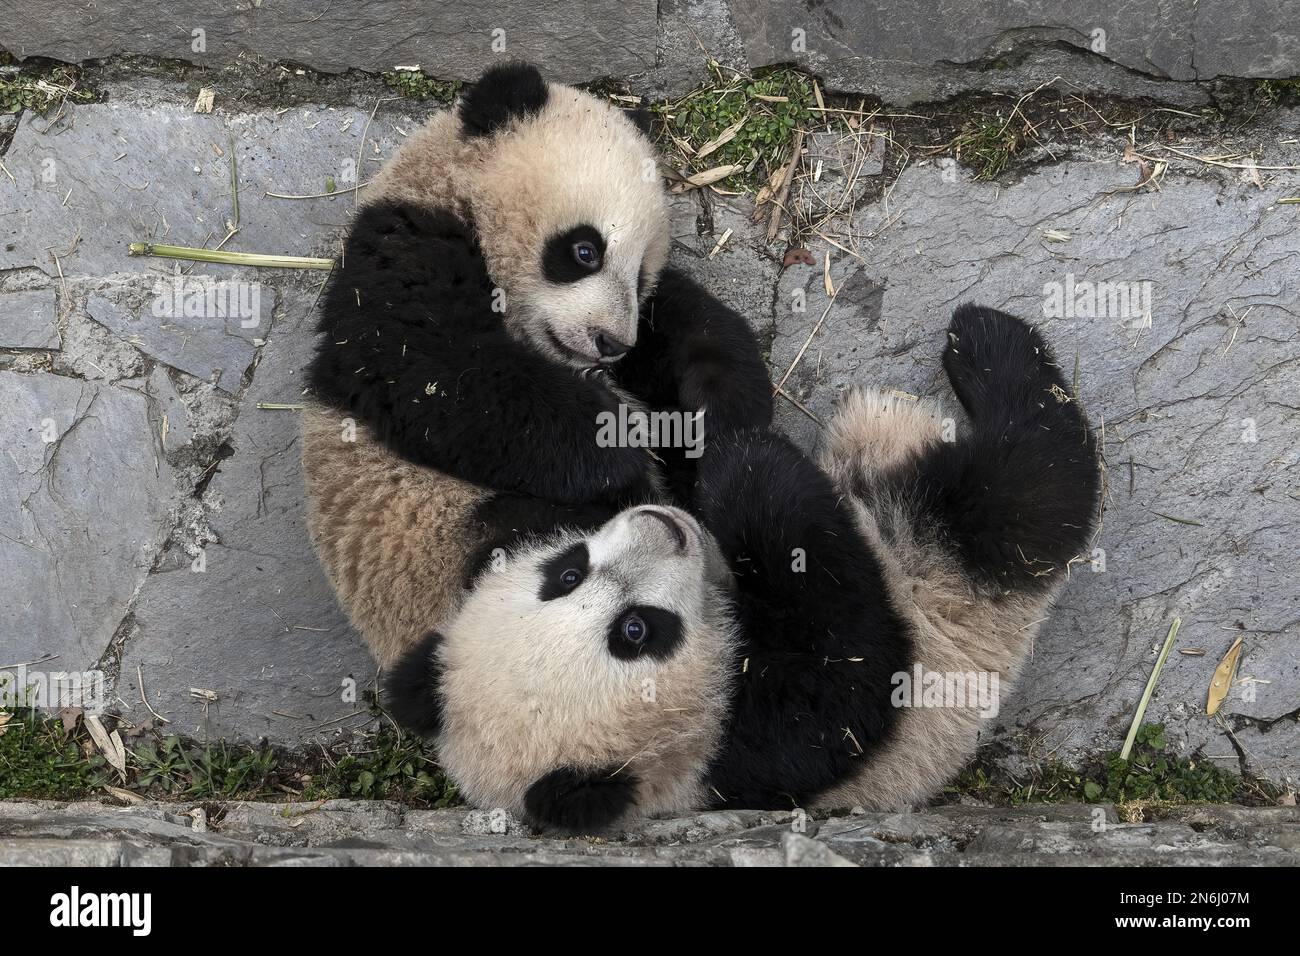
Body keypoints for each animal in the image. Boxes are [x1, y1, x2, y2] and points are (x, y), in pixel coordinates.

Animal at [302, 62, 772, 664]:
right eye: (584, 251)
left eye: (641, 274)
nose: (609, 343)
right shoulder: (400, 253)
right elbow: (438, 376)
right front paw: (617, 433)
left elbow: (682, 328)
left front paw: (720, 407)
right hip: (442, 542)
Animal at [382, 306, 1102, 829]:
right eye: (635, 633)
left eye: (564, 574)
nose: (659, 525)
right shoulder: (752, 757)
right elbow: (851, 675)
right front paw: (747, 466)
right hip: (949, 558)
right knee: (1026, 489)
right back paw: (989, 349)